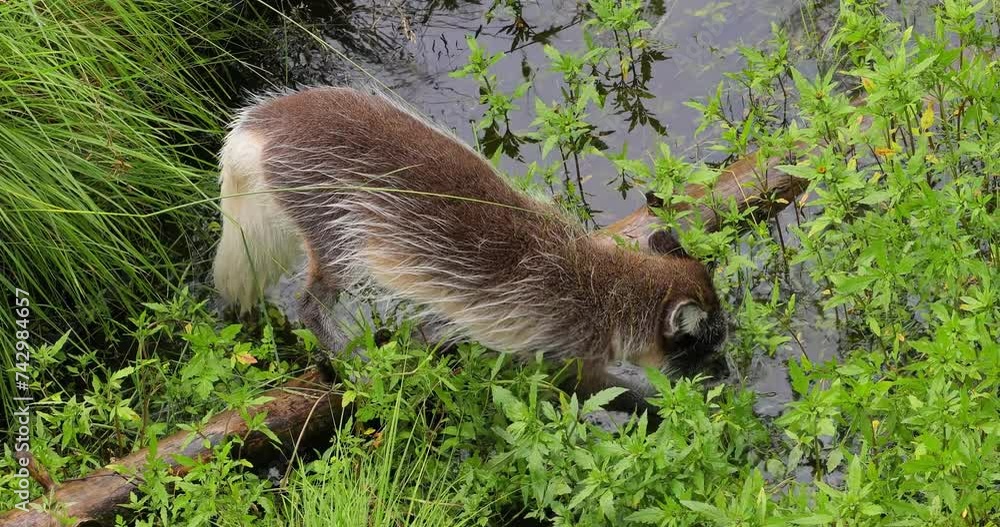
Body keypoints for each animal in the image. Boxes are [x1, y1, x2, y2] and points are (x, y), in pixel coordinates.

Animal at [212, 86, 728, 414]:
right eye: (707, 348)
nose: (726, 378)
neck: (608, 286)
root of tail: (261, 121)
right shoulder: (560, 350)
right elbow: (607, 391)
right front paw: (674, 409)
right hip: (337, 232)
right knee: (308, 303)